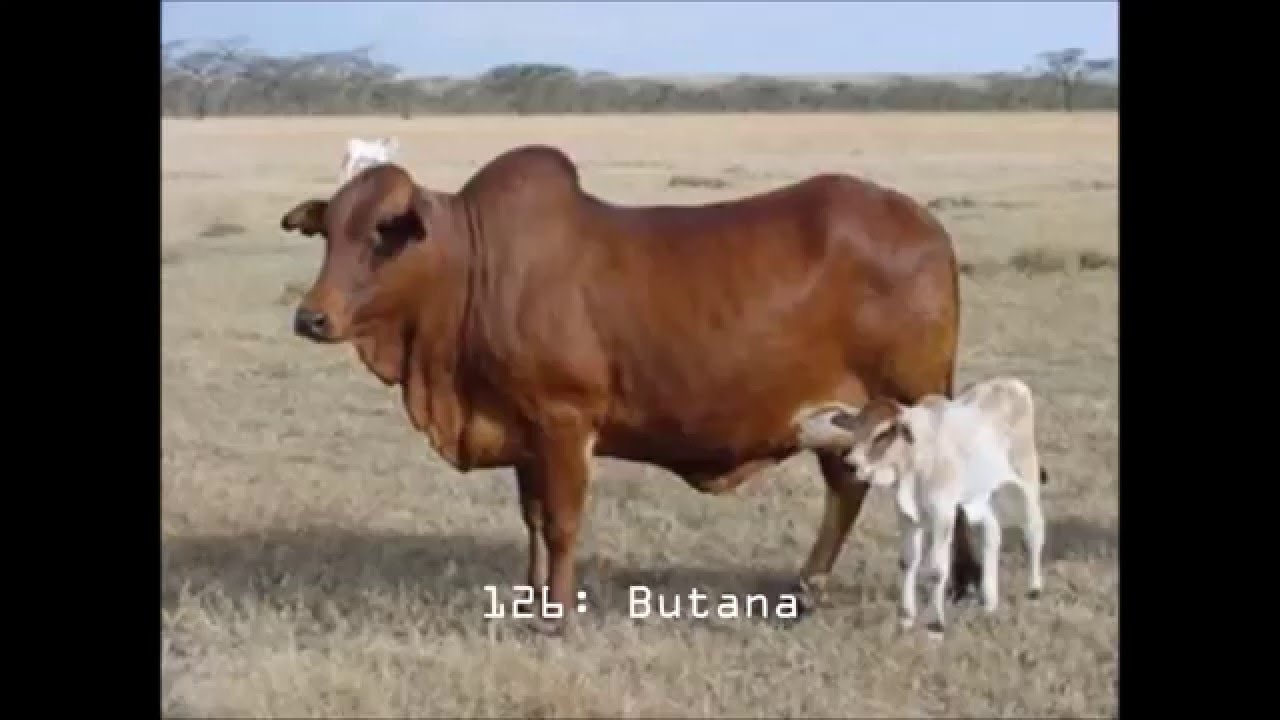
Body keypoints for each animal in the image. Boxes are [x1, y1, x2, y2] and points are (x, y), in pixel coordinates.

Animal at [277, 144, 973, 635]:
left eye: (382, 234)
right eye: (329, 231)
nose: (311, 318)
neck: (473, 268)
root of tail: (924, 224)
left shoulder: (563, 421)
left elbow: (561, 524)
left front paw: (556, 619)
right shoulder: (525, 432)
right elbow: (533, 521)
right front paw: (530, 601)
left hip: (910, 401)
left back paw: (951, 585)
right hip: (841, 419)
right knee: (847, 490)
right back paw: (814, 591)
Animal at [796, 377, 1048, 638]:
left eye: (883, 433)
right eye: (856, 430)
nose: (850, 463)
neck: (914, 457)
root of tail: (1011, 383)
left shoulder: (943, 514)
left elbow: (937, 569)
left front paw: (936, 624)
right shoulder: (906, 514)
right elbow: (907, 561)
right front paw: (906, 618)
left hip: (1027, 478)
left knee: (1034, 530)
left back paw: (1034, 590)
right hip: (977, 497)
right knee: (992, 532)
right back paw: (989, 602)